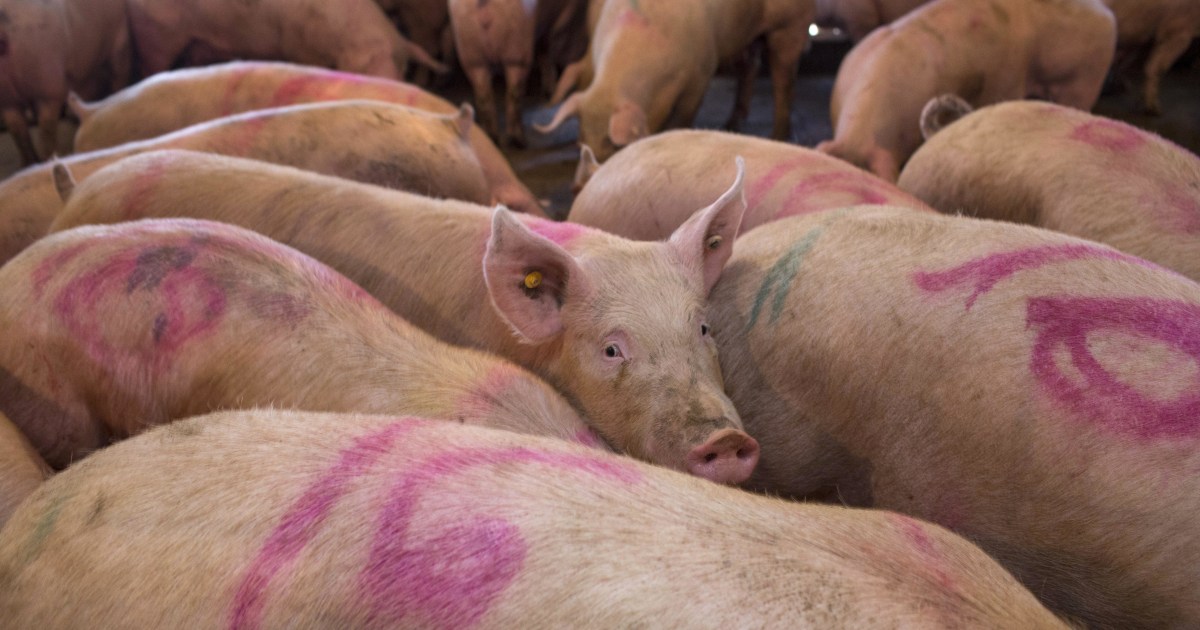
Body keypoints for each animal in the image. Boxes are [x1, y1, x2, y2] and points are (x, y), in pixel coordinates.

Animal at [0, 0, 131, 164]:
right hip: (48, 81)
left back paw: (29, 162)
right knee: (46, 129)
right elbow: (117, 77)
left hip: (8, 97)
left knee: (19, 131)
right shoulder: (120, 39)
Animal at [449, 0, 588, 148]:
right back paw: (519, 140)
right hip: (517, 52)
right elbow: (545, 52)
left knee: (483, 96)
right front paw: (549, 90)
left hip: (471, 55)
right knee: (514, 93)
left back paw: (492, 137)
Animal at [536, 0, 815, 160]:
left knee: (784, 78)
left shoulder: (701, 72)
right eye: (580, 139)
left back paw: (778, 135)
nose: (578, 186)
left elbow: (684, 116)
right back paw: (731, 123)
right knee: (750, 67)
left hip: (790, 24)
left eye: (612, 144)